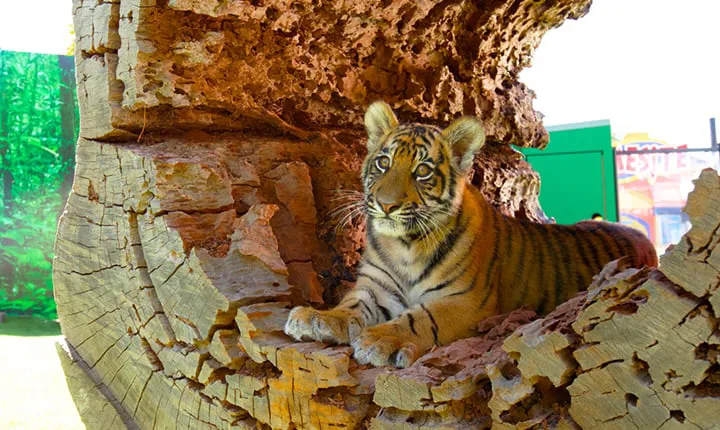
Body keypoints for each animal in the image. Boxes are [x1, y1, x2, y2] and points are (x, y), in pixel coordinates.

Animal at [284, 101, 658, 368]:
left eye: (422, 171)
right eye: (383, 163)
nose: (387, 205)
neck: (404, 245)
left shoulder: (464, 301)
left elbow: (421, 319)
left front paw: (379, 340)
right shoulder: (376, 288)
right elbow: (351, 304)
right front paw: (316, 318)